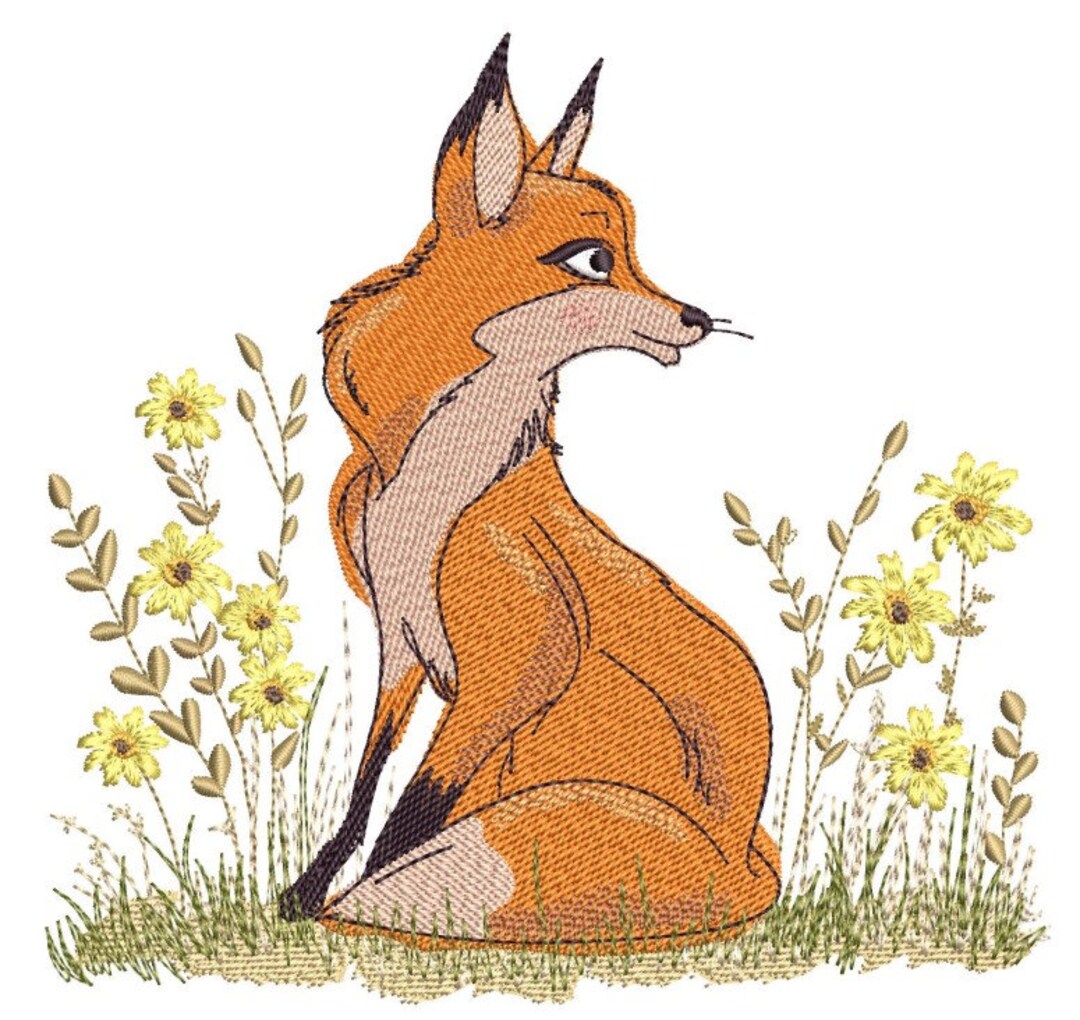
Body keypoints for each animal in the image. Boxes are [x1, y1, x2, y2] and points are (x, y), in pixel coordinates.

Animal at [280, 35, 780, 948]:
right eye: (594, 260)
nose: (696, 317)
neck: (434, 482)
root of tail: (746, 862)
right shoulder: (405, 642)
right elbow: (370, 789)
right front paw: (303, 893)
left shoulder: (522, 657)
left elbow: (411, 814)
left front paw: (341, 905)